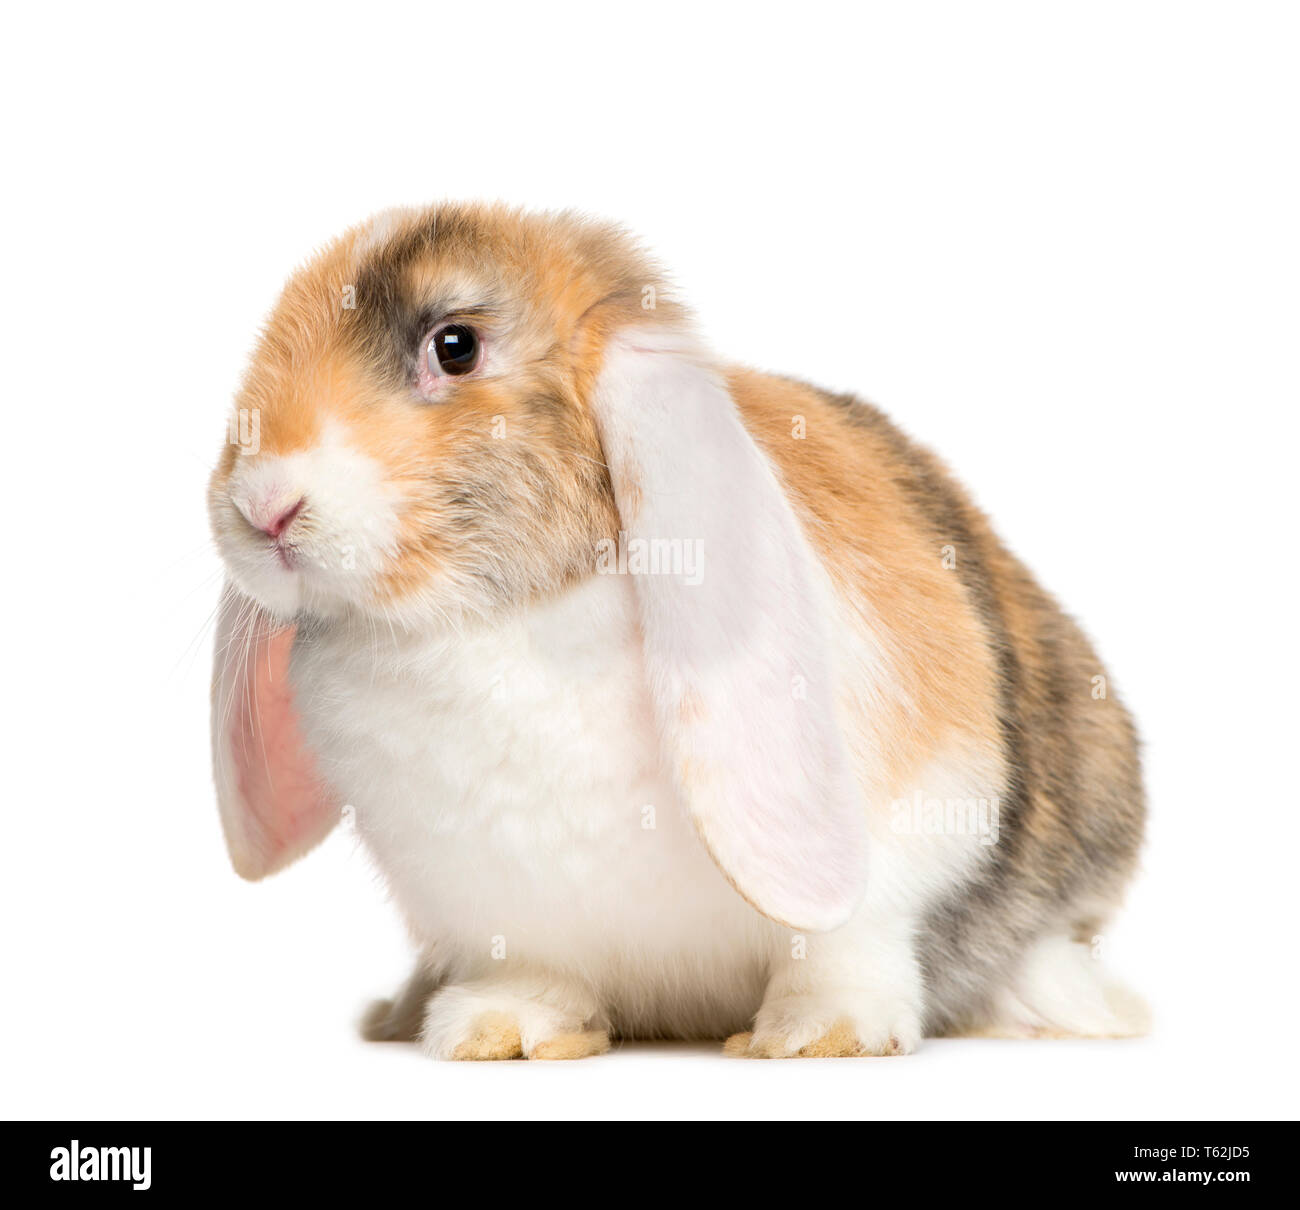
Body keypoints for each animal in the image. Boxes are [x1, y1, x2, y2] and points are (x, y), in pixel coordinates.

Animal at [209, 202, 1147, 1060]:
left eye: (455, 346)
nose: (262, 505)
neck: (497, 619)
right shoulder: (501, 910)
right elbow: (531, 970)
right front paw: (496, 1029)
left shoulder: (917, 818)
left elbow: (849, 944)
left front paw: (820, 1035)